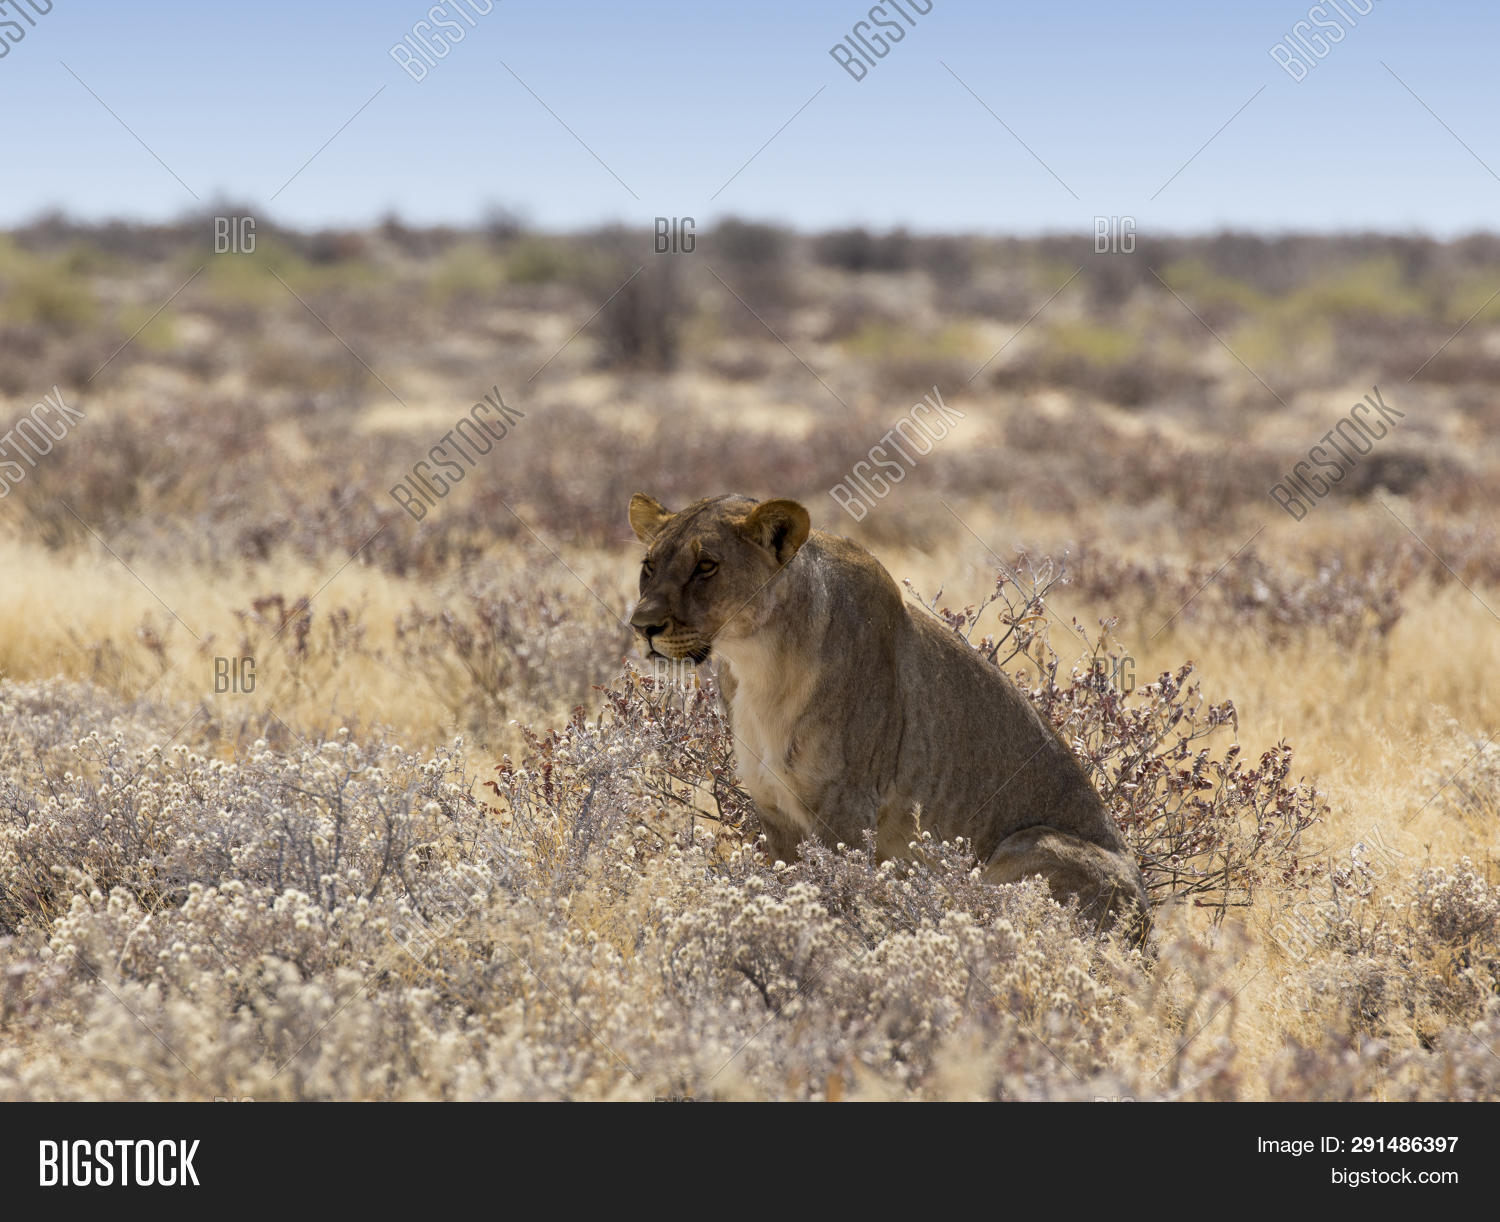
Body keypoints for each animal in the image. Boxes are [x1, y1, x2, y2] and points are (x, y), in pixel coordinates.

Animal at [627, 492, 1149, 935]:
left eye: (706, 566)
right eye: (648, 566)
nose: (641, 626)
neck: (757, 663)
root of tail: (1146, 929)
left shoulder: (847, 807)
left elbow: (835, 895)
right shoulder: (772, 806)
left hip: (1030, 847)